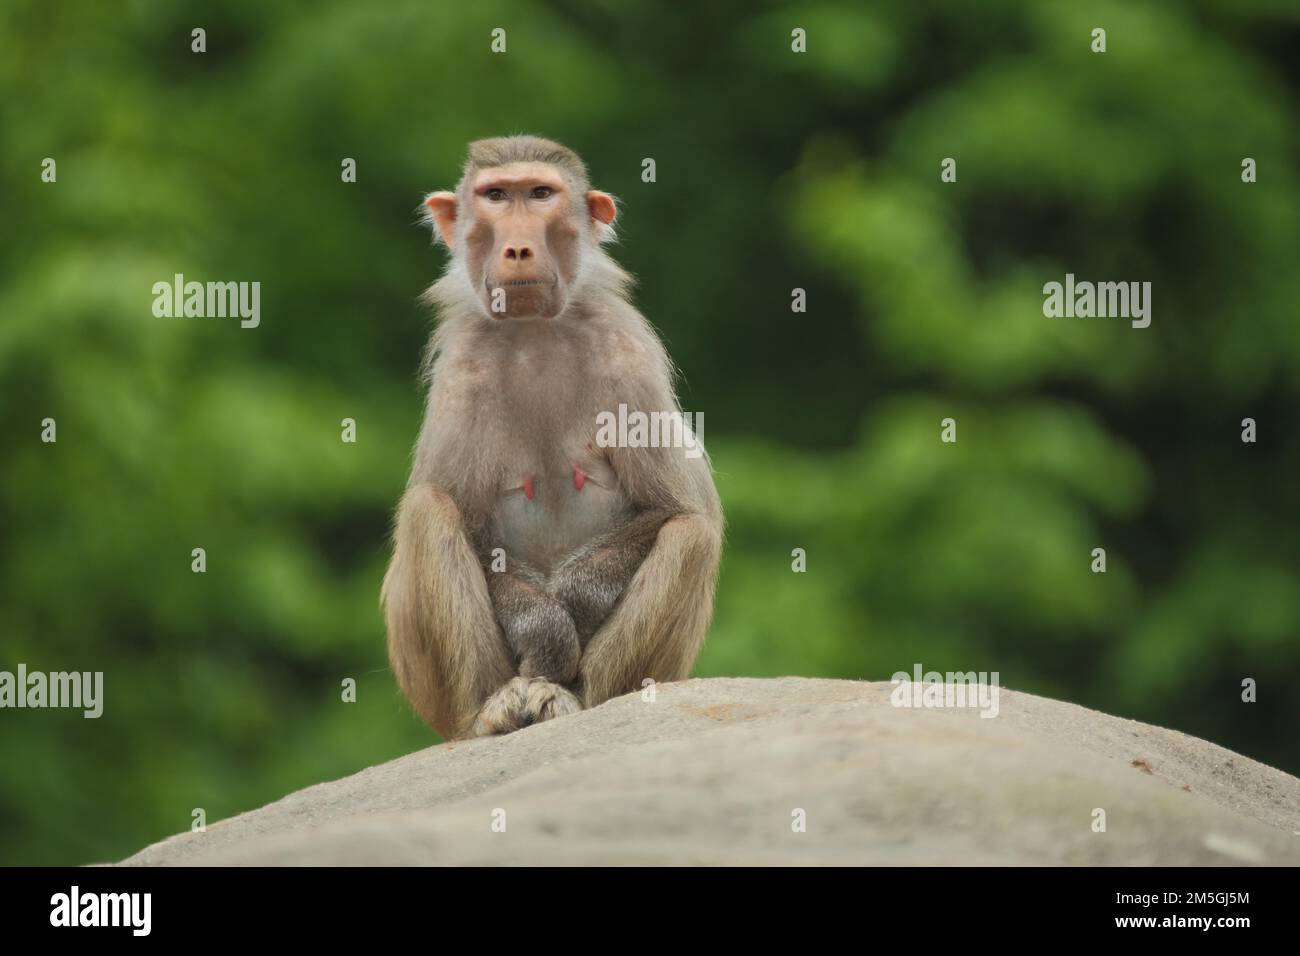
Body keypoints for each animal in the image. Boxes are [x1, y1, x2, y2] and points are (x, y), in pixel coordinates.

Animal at [381, 136, 723, 740]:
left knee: (691, 535)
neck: (532, 331)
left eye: (541, 194)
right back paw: (491, 712)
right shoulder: (461, 372)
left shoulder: (628, 354)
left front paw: (565, 617)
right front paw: (546, 634)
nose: (518, 248)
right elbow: (467, 522)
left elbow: (676, 508)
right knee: (428, 509)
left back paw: (571, 697)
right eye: (495, 196)